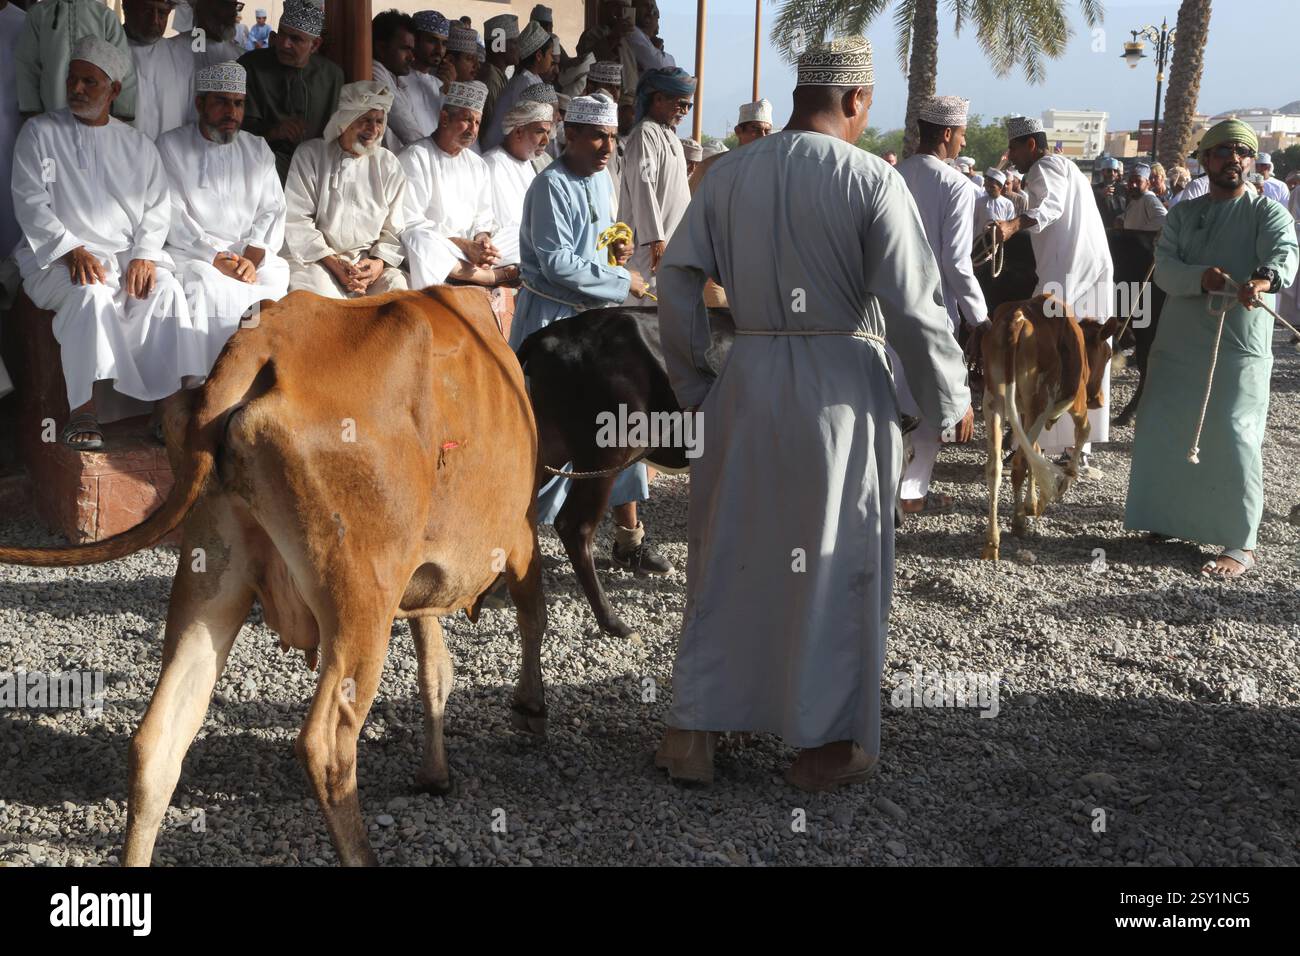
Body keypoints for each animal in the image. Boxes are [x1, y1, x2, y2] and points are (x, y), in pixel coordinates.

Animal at [0, 287, 547, 866]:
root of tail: (268, 335)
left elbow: (436, 667)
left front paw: (435, 773)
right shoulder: (522, 534)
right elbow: (531, 614)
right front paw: (530, 708)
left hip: (213, 577)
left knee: (158, 741)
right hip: (361, 596)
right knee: (327, 746)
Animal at [978, 293, 1118, 561]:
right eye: (1107, 355)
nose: (1099, 400)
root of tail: (1017, 319)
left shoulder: (1022, 411)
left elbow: (1036, 451)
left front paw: (1032, 502)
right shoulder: (1077, 403)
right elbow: (1082, 431)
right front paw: (1063, 482)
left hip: (994, 401)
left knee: (996, 466)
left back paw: (992, 540)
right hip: (1039, 403)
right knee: (1021, 460)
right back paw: (1018, 522)